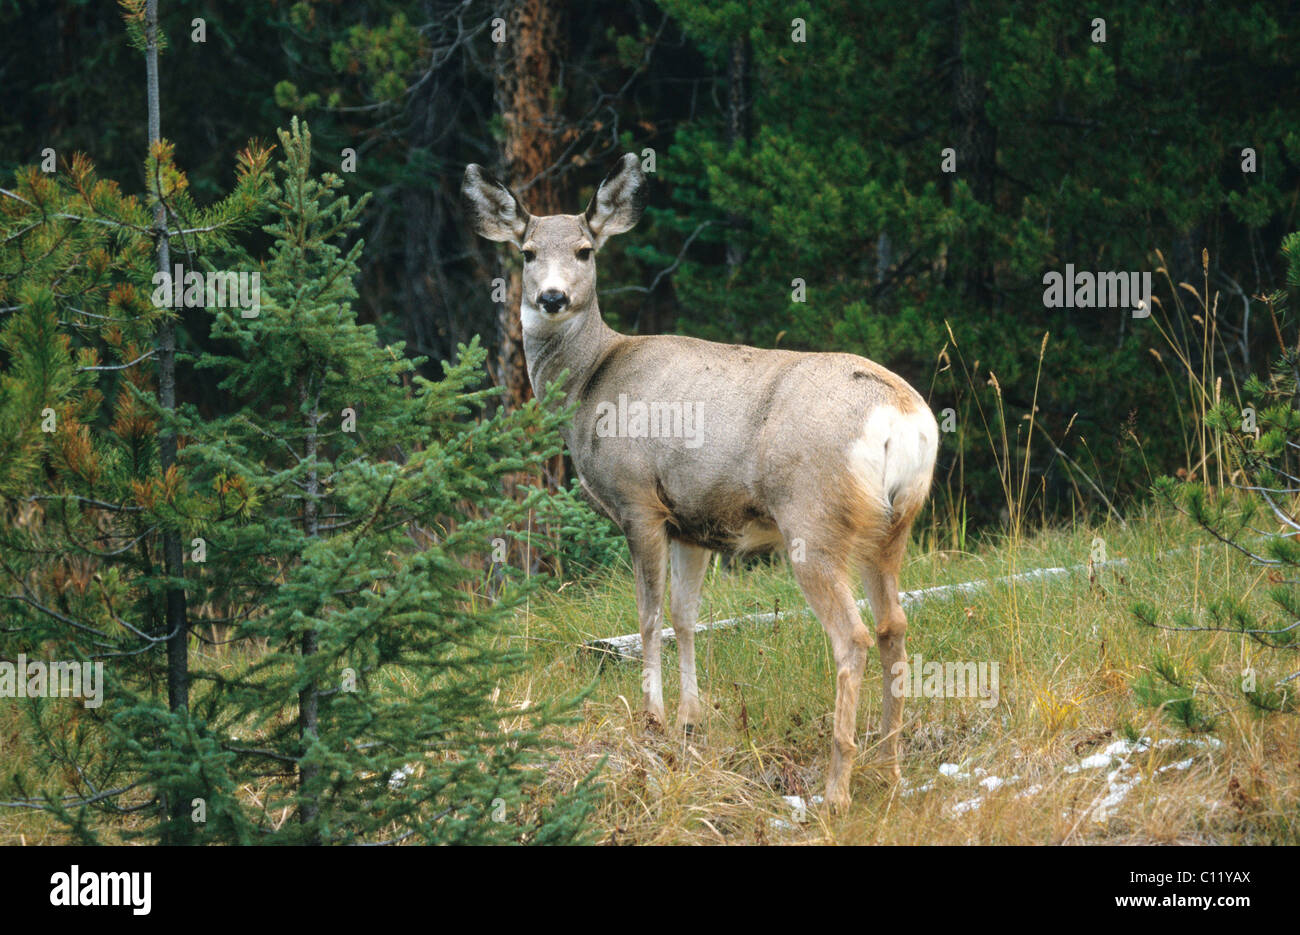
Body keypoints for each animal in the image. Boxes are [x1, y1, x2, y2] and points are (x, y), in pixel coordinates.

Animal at [462, 153, 938, 811]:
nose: (553, 297)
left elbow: (646, 617)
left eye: (585, 250)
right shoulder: (693, 522)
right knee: (895, 626)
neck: (591, 381)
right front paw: (692, 717)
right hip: (892, 527)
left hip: (813, 521)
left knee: (854, 637)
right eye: (529, 252)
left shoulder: (638, 500)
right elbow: (686, 616)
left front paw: (653, 718)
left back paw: (837, 788)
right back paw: (889, 771)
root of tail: (902, 420)